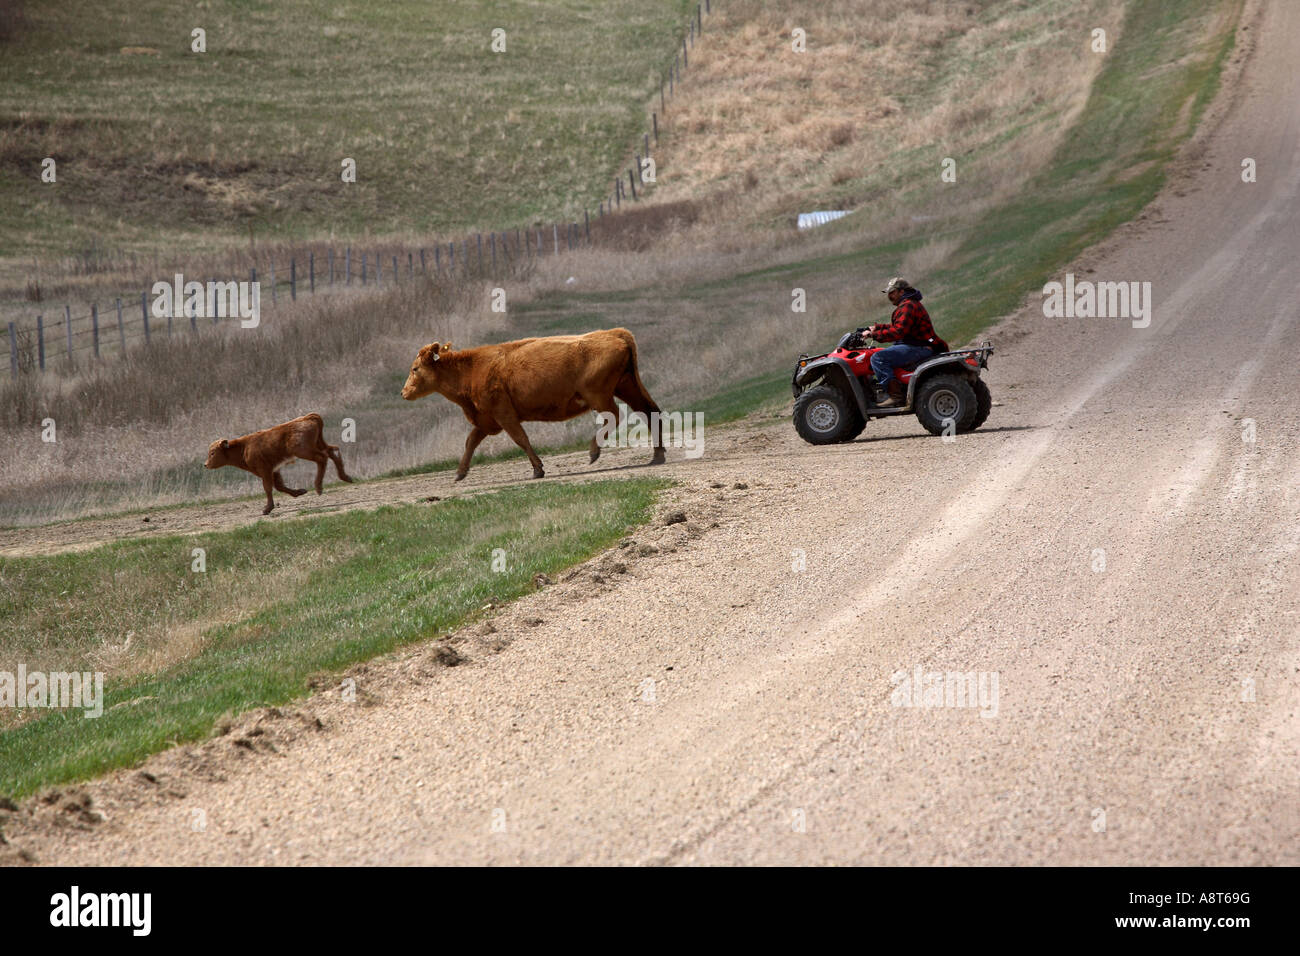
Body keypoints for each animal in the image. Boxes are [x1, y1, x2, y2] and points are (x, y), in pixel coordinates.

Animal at [205, 413, 353, 514]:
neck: (244, 447)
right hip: (318, 444)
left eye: (212, 452)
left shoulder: (265, 470)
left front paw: (267, 509)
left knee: (322, 458)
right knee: (333, 451)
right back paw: (346, 477)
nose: (205, 465)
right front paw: (299, 492)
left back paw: (318, 487)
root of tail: (308, 417)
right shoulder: (274, 470)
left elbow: (268, 488)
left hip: (304, 451)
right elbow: (279, 486)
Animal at [401, 328, 666, 481]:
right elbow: (471, 442)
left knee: (615, 415)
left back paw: (594, 450)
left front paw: (538, 469)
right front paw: (460, 472)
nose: (403, 393)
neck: (472, 369)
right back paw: (657, 456)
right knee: (650, 412)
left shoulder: (503, 414)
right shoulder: (486, 420)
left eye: (415, 369)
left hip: (599, 395)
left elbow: (521, 439)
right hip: (627, 386)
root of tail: (613, 333)